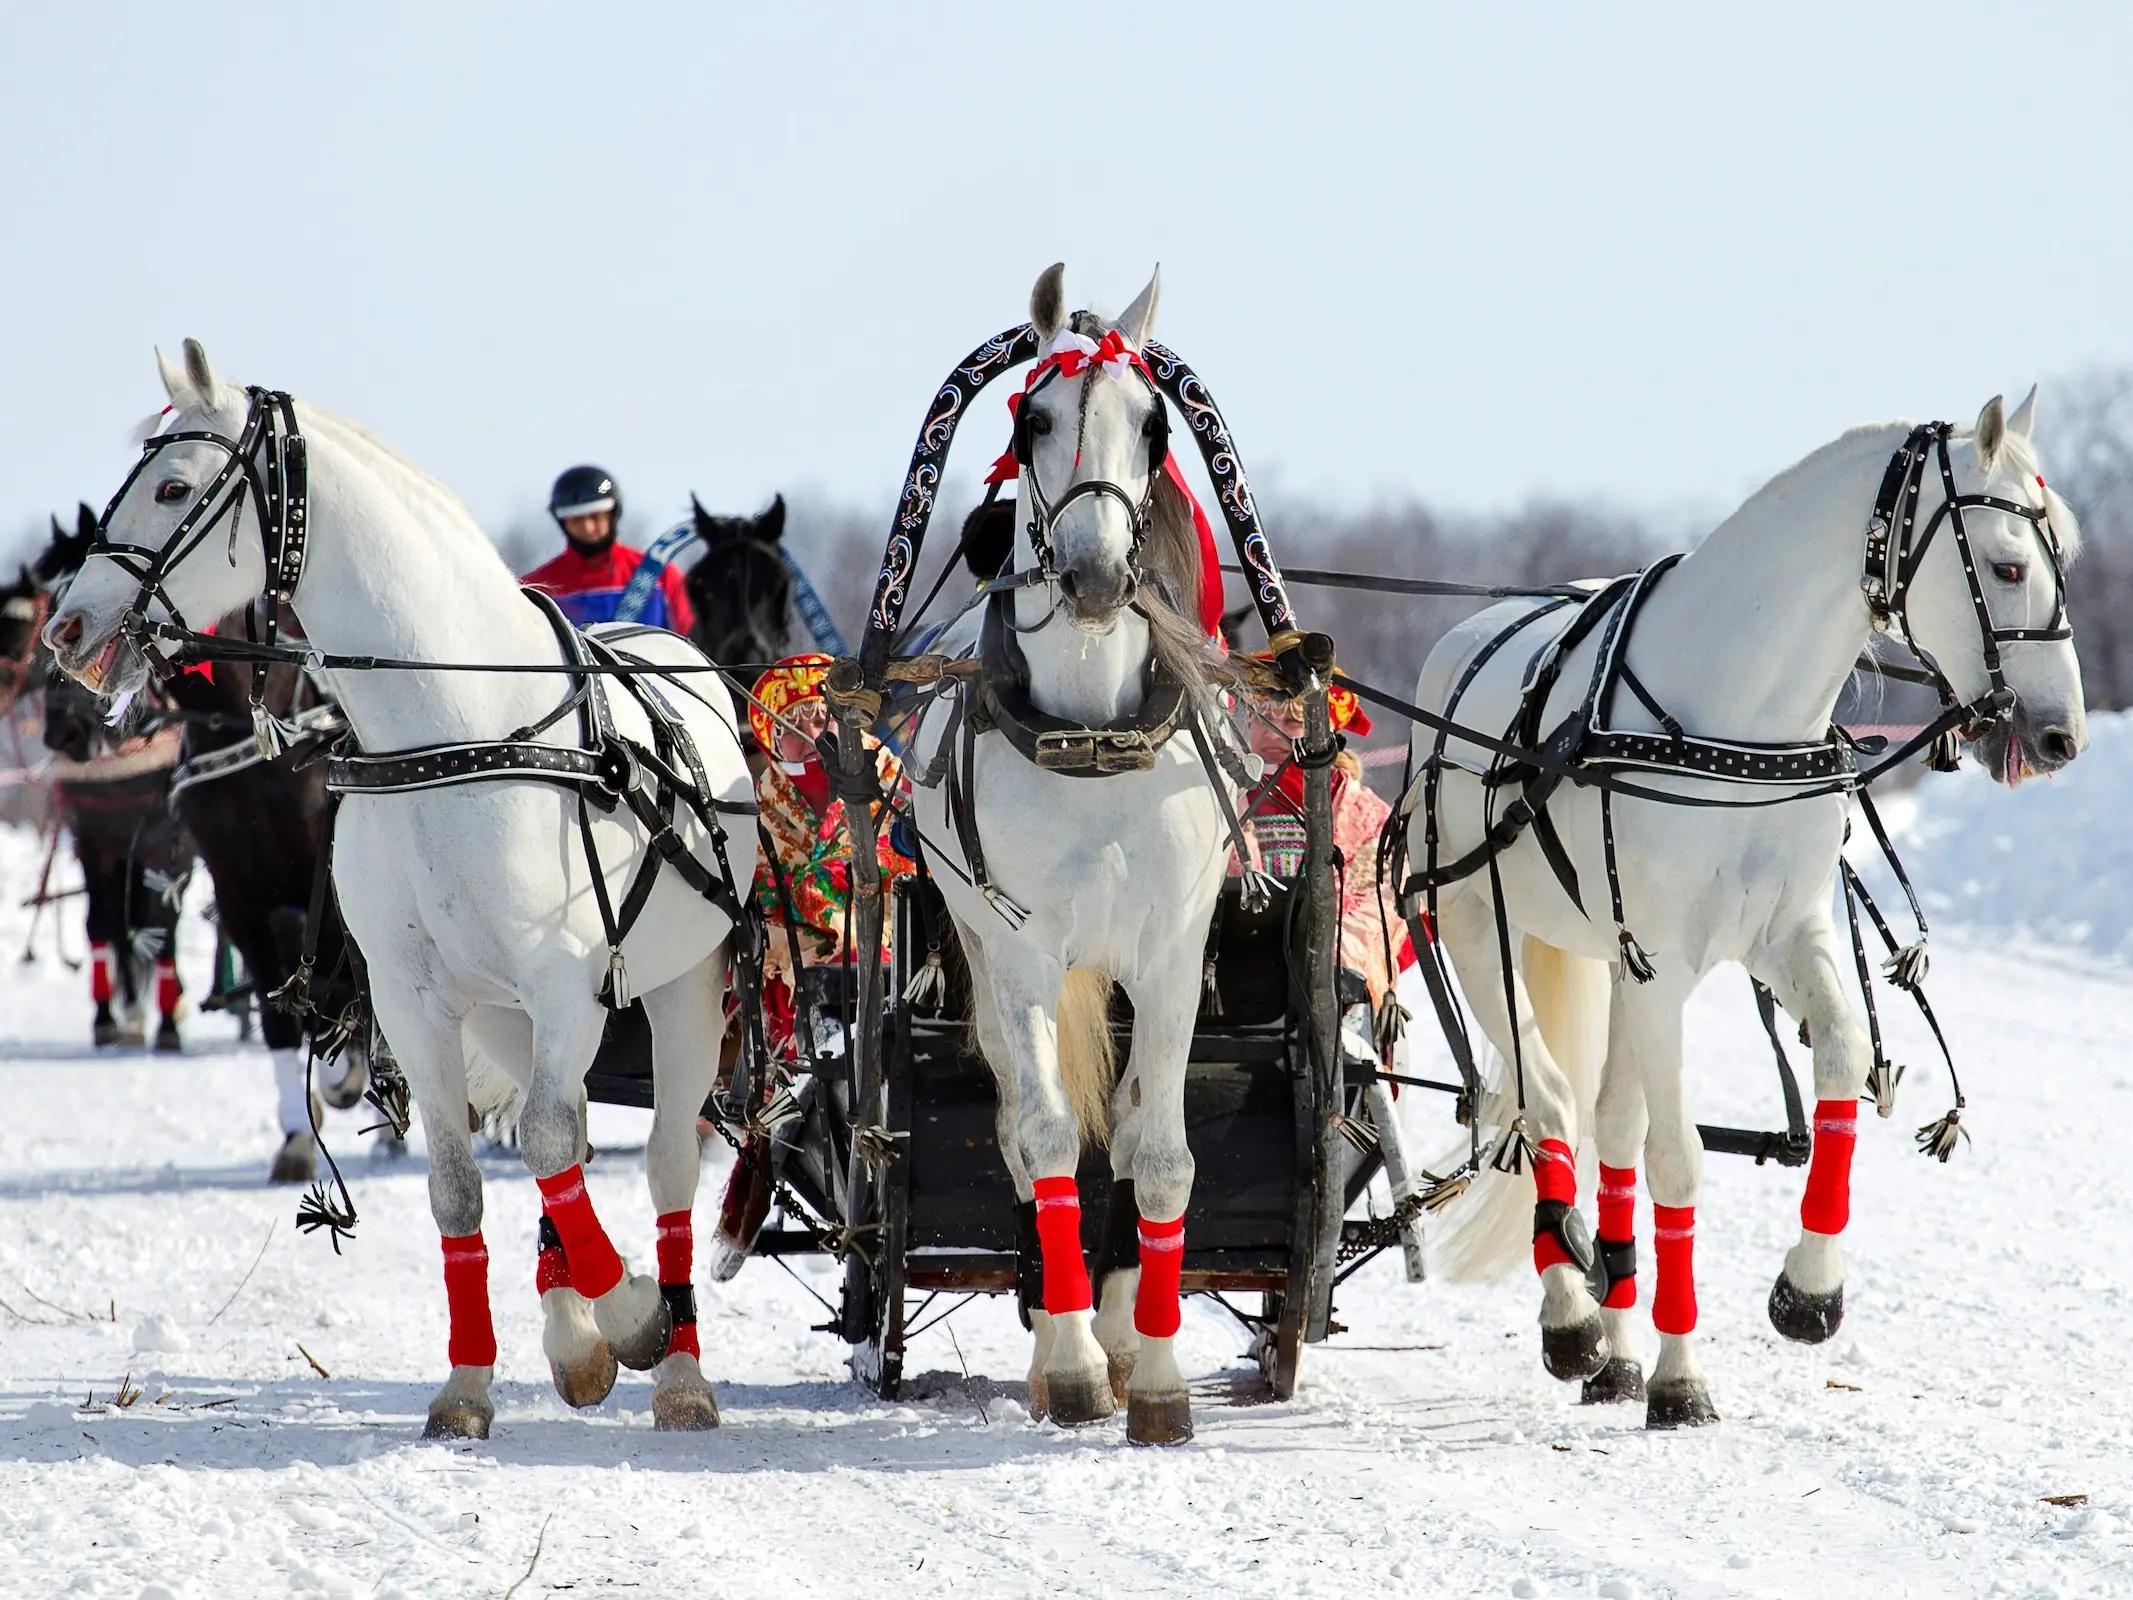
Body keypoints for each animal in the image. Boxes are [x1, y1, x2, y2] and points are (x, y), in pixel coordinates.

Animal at [48, 340, 757, 1439]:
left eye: (171, 486)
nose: (69, 628)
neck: (455, 731)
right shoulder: (416, 999)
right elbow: (464, 1184)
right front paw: (471, 1383)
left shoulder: (567, 985)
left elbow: (548, 1141)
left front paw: (634, 1316)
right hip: (508, 1015)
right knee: (569, 1142)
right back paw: (572, 1333)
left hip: (683, 988)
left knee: (663, 1160)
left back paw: (678, 1366)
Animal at [907, 265, 1236, 1444]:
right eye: (1033, 421)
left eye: (1154, 425)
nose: (1095, 575)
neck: (1092, 732)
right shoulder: (1020, 954)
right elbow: (1048, 1138)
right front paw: (1078, 1366)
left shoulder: (1174, 953)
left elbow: (1161, 1155)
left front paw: (1158, 1372)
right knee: (1017, 1122)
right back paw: (1067, 1334)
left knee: (1132, 1128)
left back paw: (1125, 1320)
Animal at [1413, 391, 2086, 1427]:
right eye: (2010, 565)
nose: (2062, 737)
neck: (1738, 726)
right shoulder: (1657, 964)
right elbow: (1678, 1158)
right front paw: (1681, 1376)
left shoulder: (1783, 936)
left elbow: (1842, 1060)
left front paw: (1808, 1290)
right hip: (1484, 935)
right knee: (1544, 1107)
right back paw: (1572, 1317)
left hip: (1605, 964)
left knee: (1606, 1126)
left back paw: (1613, 1347)